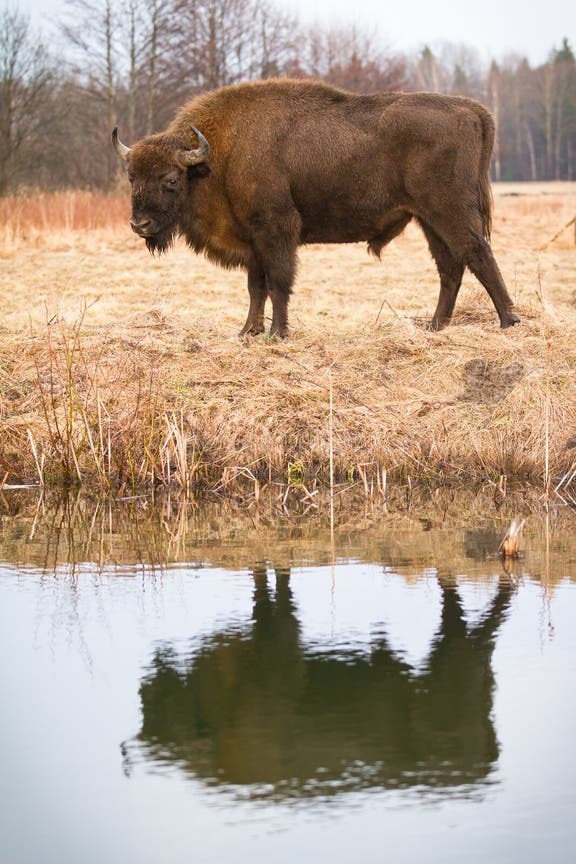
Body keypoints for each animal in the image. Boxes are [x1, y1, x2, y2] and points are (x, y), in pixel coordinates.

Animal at [112, 78, 520, 337]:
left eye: (171, 179)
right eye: (132, 177)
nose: (140, 225)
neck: (218, 157)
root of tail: (472, 110)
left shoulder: (275, 229)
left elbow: (278, 282)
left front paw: (277, 333)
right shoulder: (252, 239)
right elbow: (255, 287)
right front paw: (247, 331)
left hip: (449, 210)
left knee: (477, 253)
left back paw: (508, 320)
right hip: (428, 219)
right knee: (450, 266)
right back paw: (435, 326)